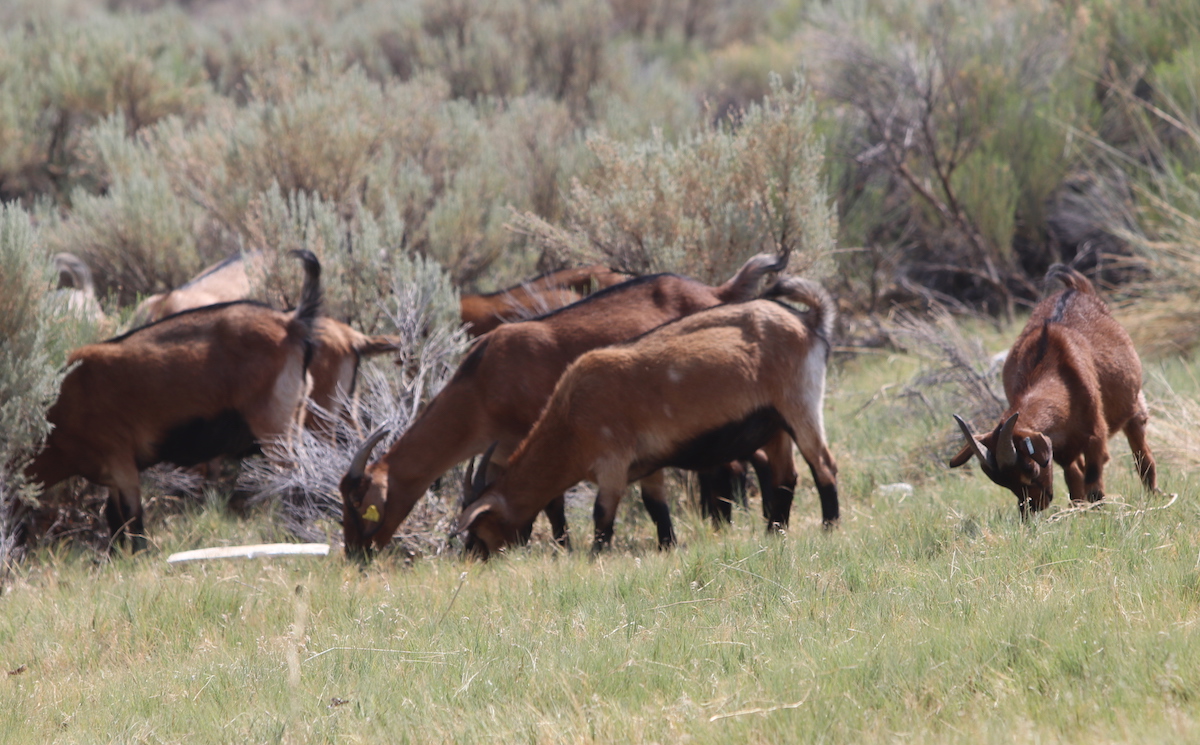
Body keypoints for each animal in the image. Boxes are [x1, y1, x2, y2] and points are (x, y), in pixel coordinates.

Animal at [25, 250, 322, 551]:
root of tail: (292, 323)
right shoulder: (109, 474)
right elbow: (114, 516)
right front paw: (115, 553)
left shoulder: (120, 461)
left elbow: (132, 517)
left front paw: (137, 556)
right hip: (295, 414)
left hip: (271, 424)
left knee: (293, 478)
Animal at [456, 277, 839, 557]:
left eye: (478, 526)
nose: (471, 555)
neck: (569, 416)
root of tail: (808, 320)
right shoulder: (647, 464)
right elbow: (657, 507)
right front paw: (667, 546)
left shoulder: (612, 463)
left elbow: (602, 515)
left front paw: (595, 556)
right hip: (775, 426)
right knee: (786, 475)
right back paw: (775, 532)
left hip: (800, 404)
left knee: (823, 466)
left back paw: (829, 528)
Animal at [950, 265, 1157, 513]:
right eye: (1001, 481)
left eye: (1030, 469)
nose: (1031, 508)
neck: (1052, 371)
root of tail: (1076, 288)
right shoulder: (1060, 445)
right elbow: (1073, 478)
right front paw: (1078, 511)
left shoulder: (1096, 434)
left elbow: (1093, 480)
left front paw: (1098, 513)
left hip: (1133, 405)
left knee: (1141, 453)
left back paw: (1155, 494)